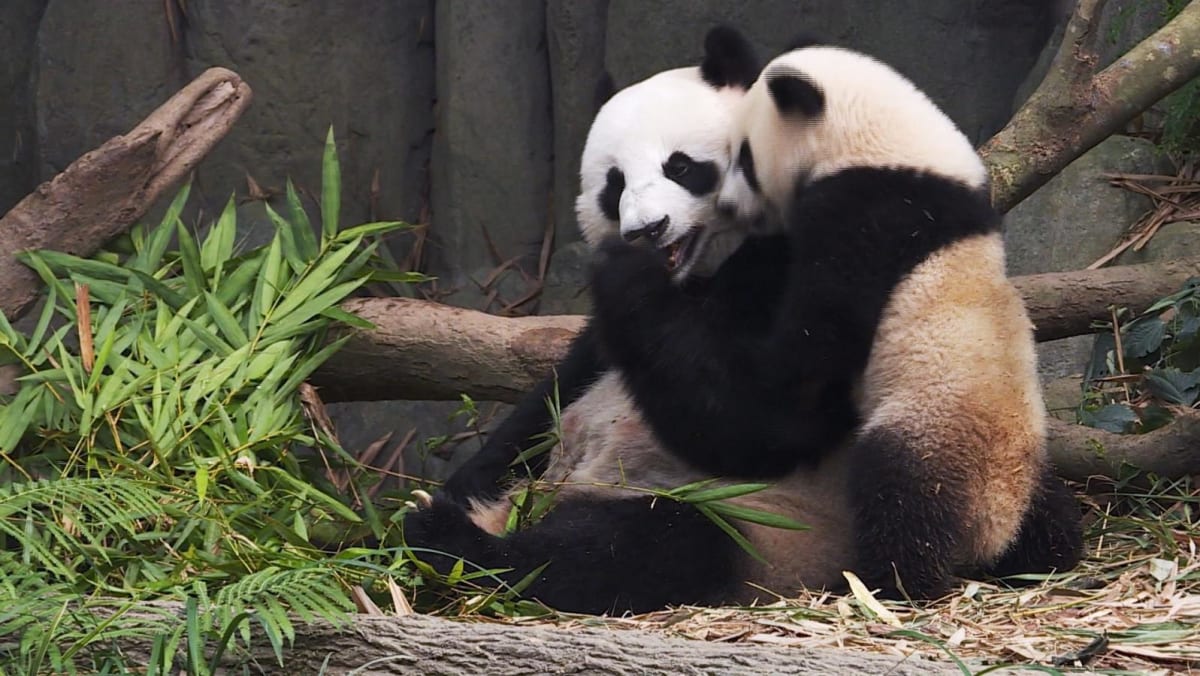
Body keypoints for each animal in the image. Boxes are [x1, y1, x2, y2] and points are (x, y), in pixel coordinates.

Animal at [402, 27, 862, 615]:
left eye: (682, 167)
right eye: (615, 183)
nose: (647, 230)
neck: (696, 276)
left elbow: (763, 420)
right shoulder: (604, 343)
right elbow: (548, 399)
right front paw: (458, 482)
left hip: (760, 525)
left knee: (634, 547)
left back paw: (452, 545)